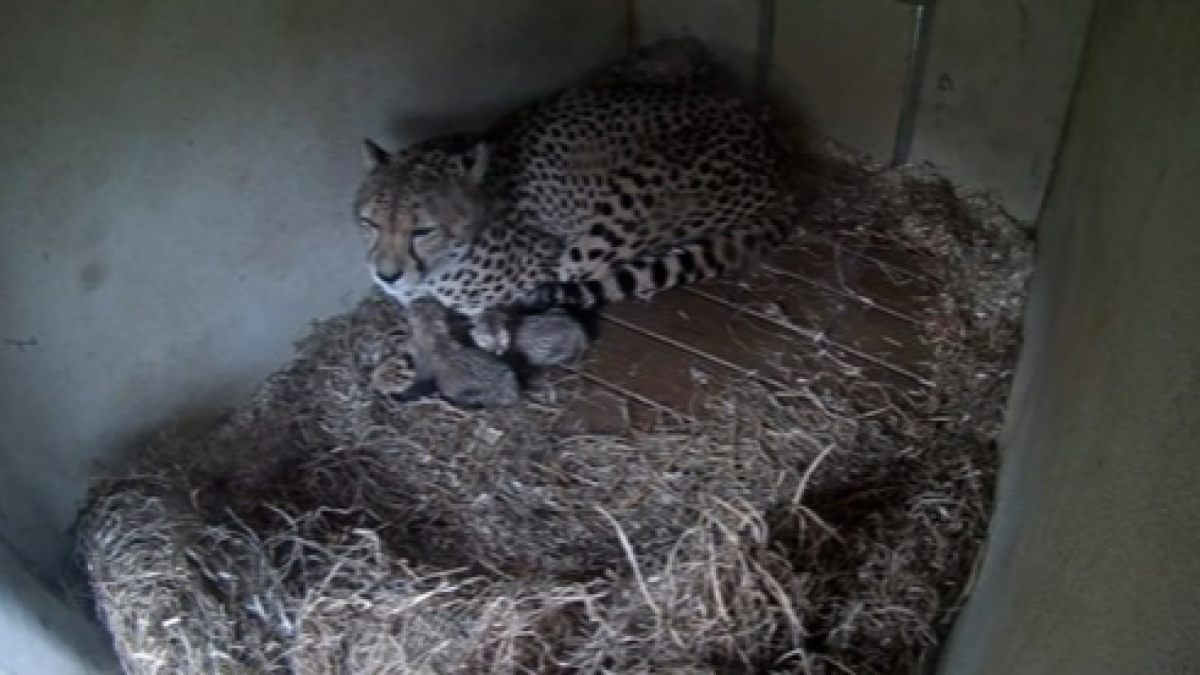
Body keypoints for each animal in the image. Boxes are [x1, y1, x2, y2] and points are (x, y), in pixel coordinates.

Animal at [353, 38, 806, 354]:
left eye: (422, 230)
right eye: (369, 222)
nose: (386, 276)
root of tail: (776, 157)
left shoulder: (545, 263)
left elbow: (503, 301)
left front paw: (490, 324)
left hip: (615, 216)